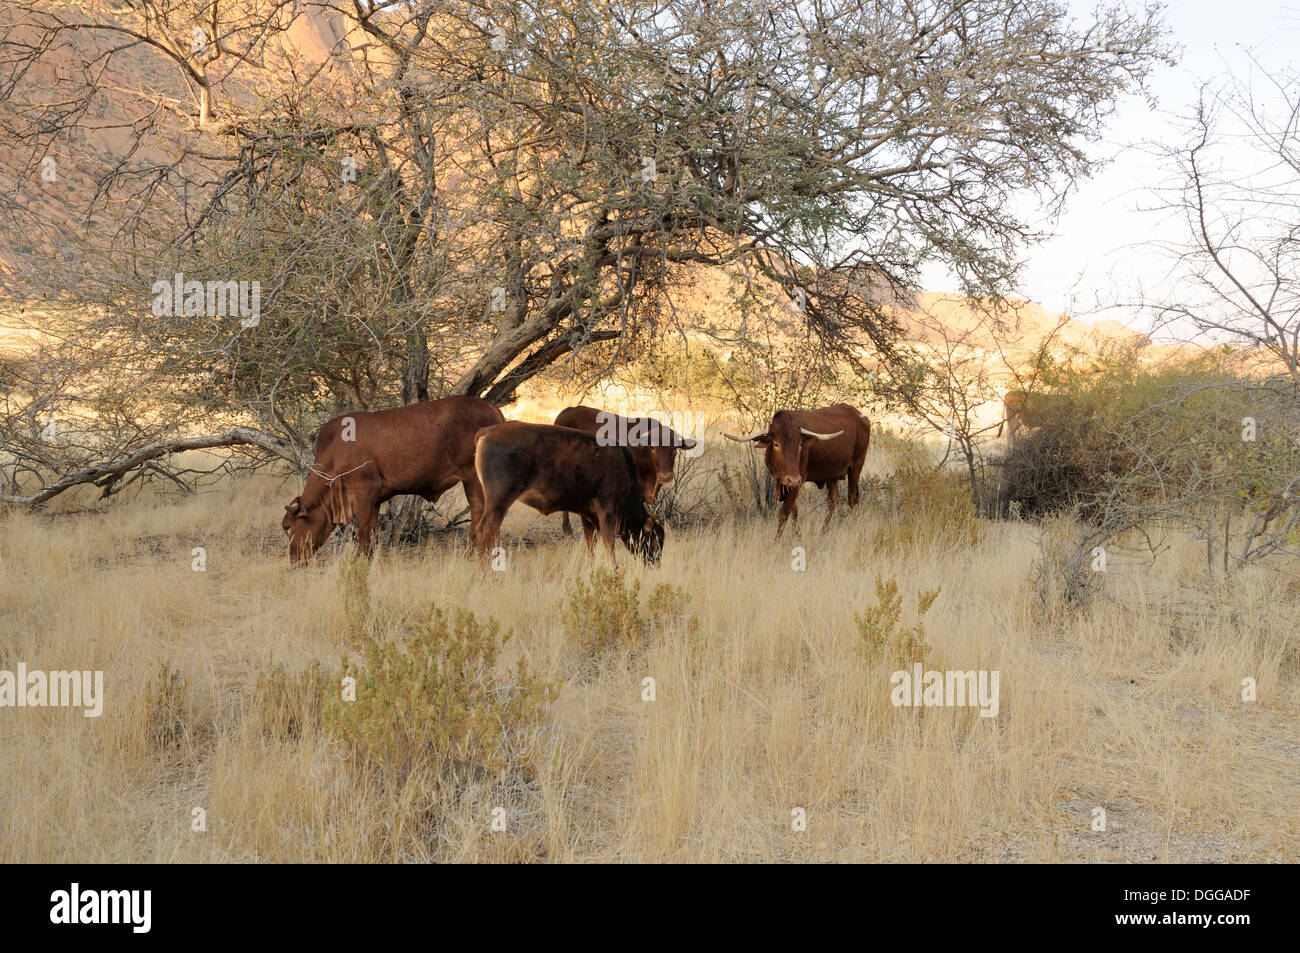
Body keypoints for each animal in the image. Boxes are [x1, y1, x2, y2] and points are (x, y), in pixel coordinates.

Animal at [281, 395, 504, 566]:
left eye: (289, 527)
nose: (292, 560)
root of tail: (490, 407)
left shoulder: (364, 493)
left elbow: (362, 529)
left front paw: (358, 560)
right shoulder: (375, 500)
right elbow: (370, 531)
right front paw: (367, 559)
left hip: (475, 480)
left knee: (483, 516)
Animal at [472, 421, 665, 565]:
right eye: (656, 540)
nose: (655, 563)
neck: (624, 467)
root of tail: (487, 431)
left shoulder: (588, 515)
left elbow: (591, 543)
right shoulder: (607, 510)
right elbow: (609, 543)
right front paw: (614, 569)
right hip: (500, 500)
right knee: (486, 529)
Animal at [724, 403, 870, 536]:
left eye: (800, 444)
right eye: (776, 444)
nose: (793, 479)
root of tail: (859, 415)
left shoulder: (797, 482)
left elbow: (784, 513)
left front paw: (777, 541)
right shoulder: (787, 482)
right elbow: (794, 511)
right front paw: (798, 535)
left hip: (856, 466)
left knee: (851, 498)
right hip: (832, 474)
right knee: (832, 501)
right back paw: (823, 532)